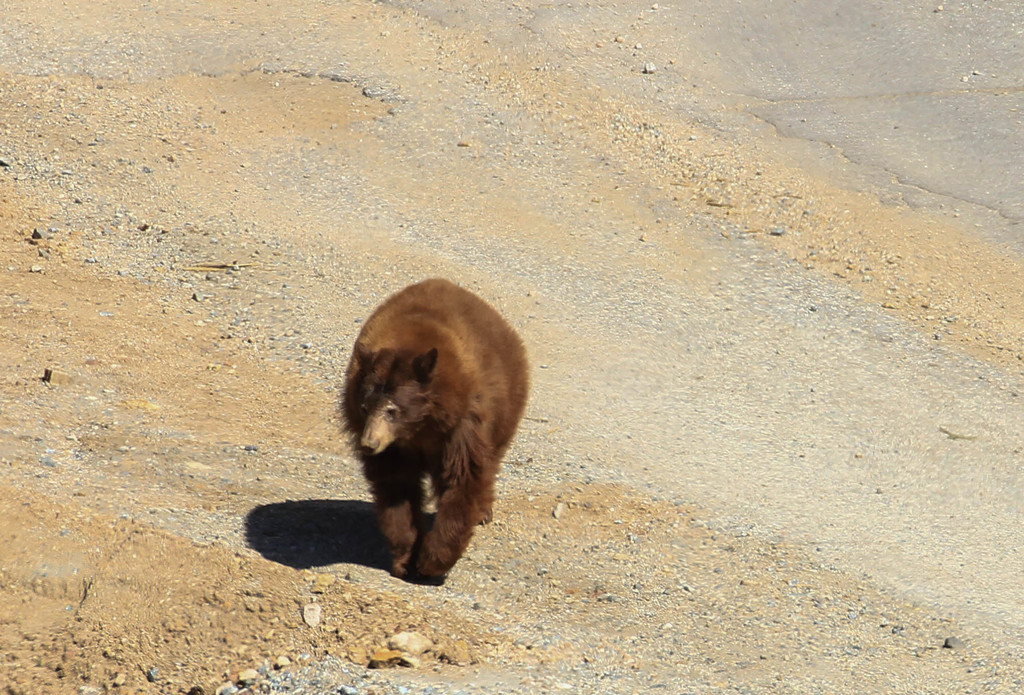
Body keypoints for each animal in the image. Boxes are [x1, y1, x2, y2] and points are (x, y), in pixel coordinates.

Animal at [341, 278, 529, 582]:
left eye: (392, 410)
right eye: (364, 405)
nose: (369, 444)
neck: (420, 427)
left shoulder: (461, 425)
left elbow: (462, 477)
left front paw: (433, 561)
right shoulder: (394, 448)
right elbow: (397, 487)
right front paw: (406, 557)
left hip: (506, 409)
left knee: (489, 462)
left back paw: (483, 510)